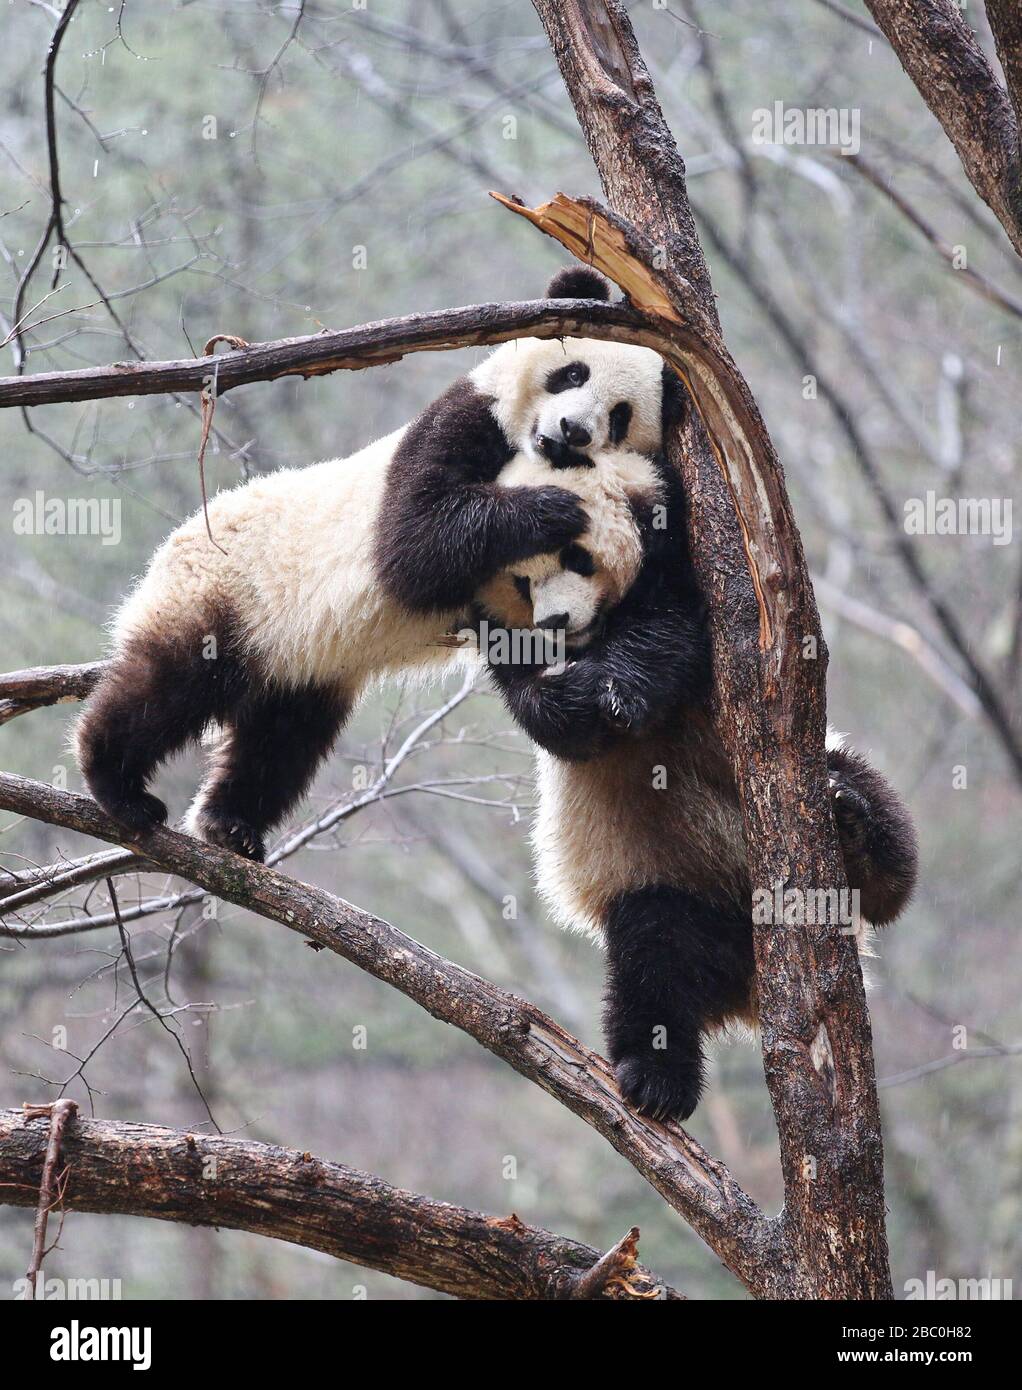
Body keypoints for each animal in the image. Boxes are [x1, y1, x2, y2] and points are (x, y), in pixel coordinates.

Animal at [75, 266, 680, 861]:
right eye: (572, 373)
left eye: (620, 417)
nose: (572, 433)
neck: (520, 449)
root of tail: (176, 541)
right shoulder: (462, 420)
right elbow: (414, 541)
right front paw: (552, 508)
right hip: (227, 587)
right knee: (170, 683)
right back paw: (117, 785)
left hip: (299, 659)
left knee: (282, 736)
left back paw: (231, 824)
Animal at [474, 430, 919, 1123]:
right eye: (521, 580)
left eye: (577, 557)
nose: (557, 622)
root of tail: (746, 985)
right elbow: (547, 709)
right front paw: (583, 695)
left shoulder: (680, 562)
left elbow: (674, 621)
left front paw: (622, 684)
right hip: (672, 886)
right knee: (655, 959)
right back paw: (657, 1079)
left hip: (824, 776)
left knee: (878, 832)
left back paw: (857, 832)